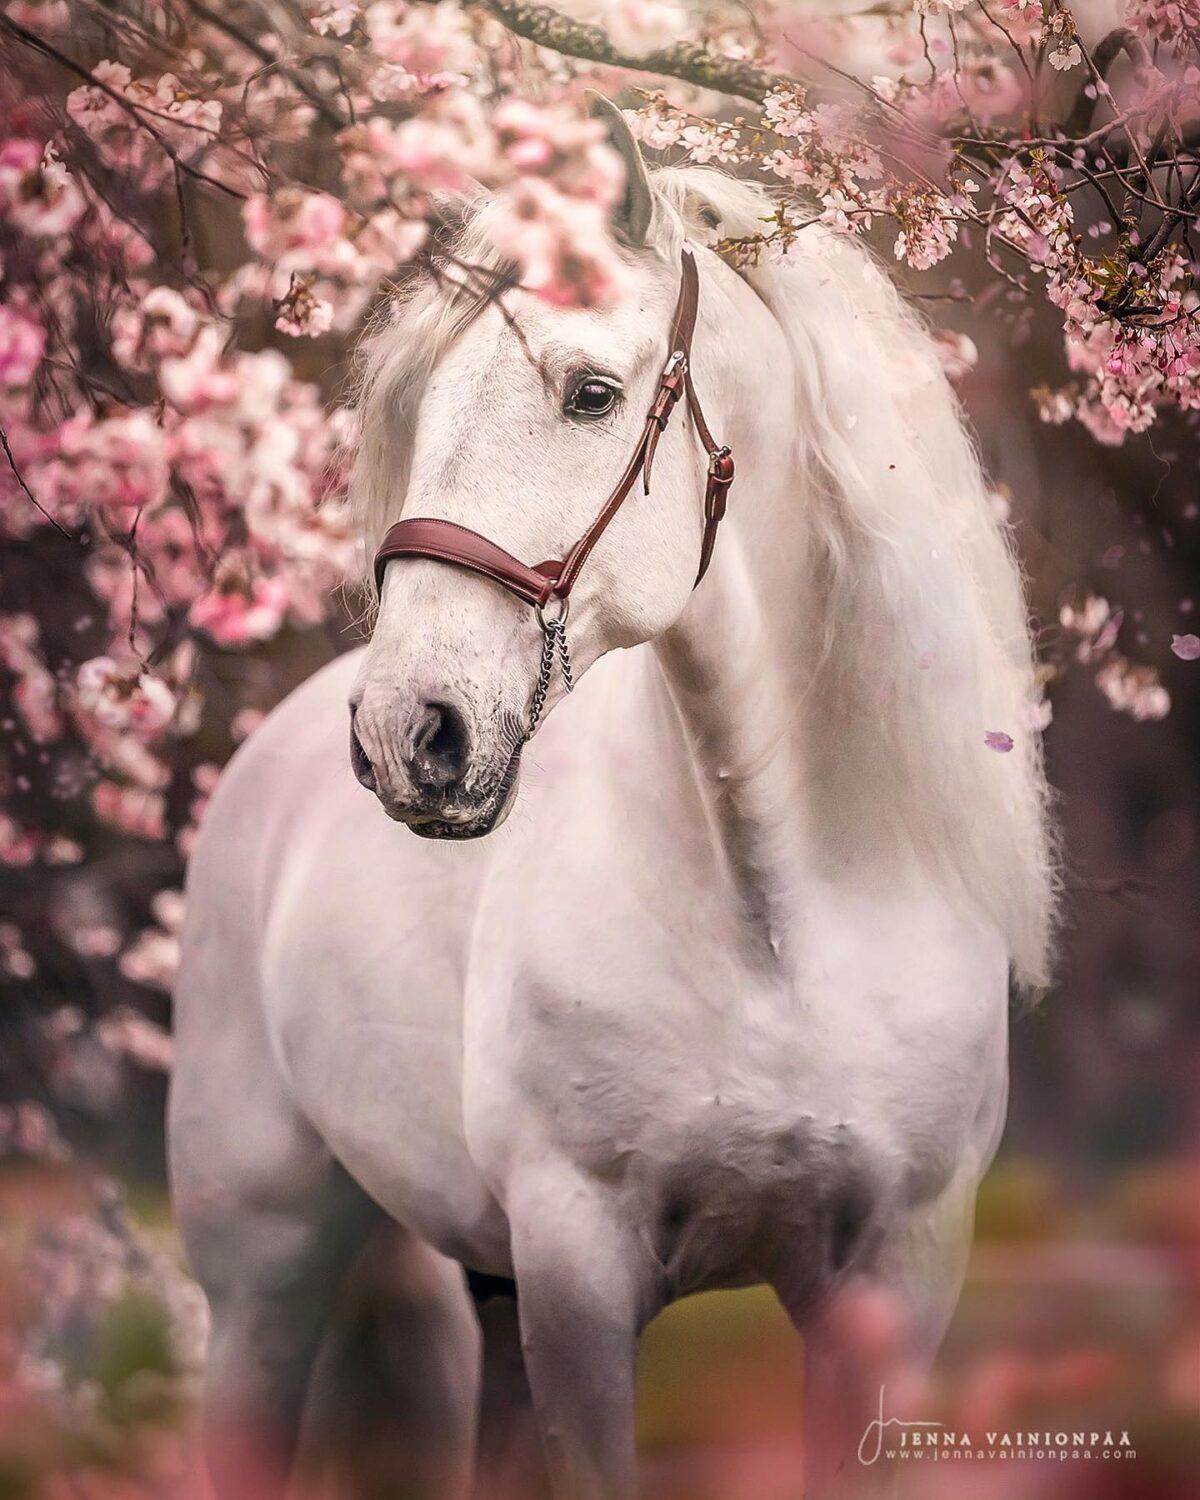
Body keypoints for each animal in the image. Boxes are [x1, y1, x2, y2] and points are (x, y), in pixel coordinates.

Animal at [169, 105, 1055, 1500]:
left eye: (591, 393)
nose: (406, 732)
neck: (782, 925)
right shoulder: (579, 1270)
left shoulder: (896, 1285)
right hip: (264, 1275)